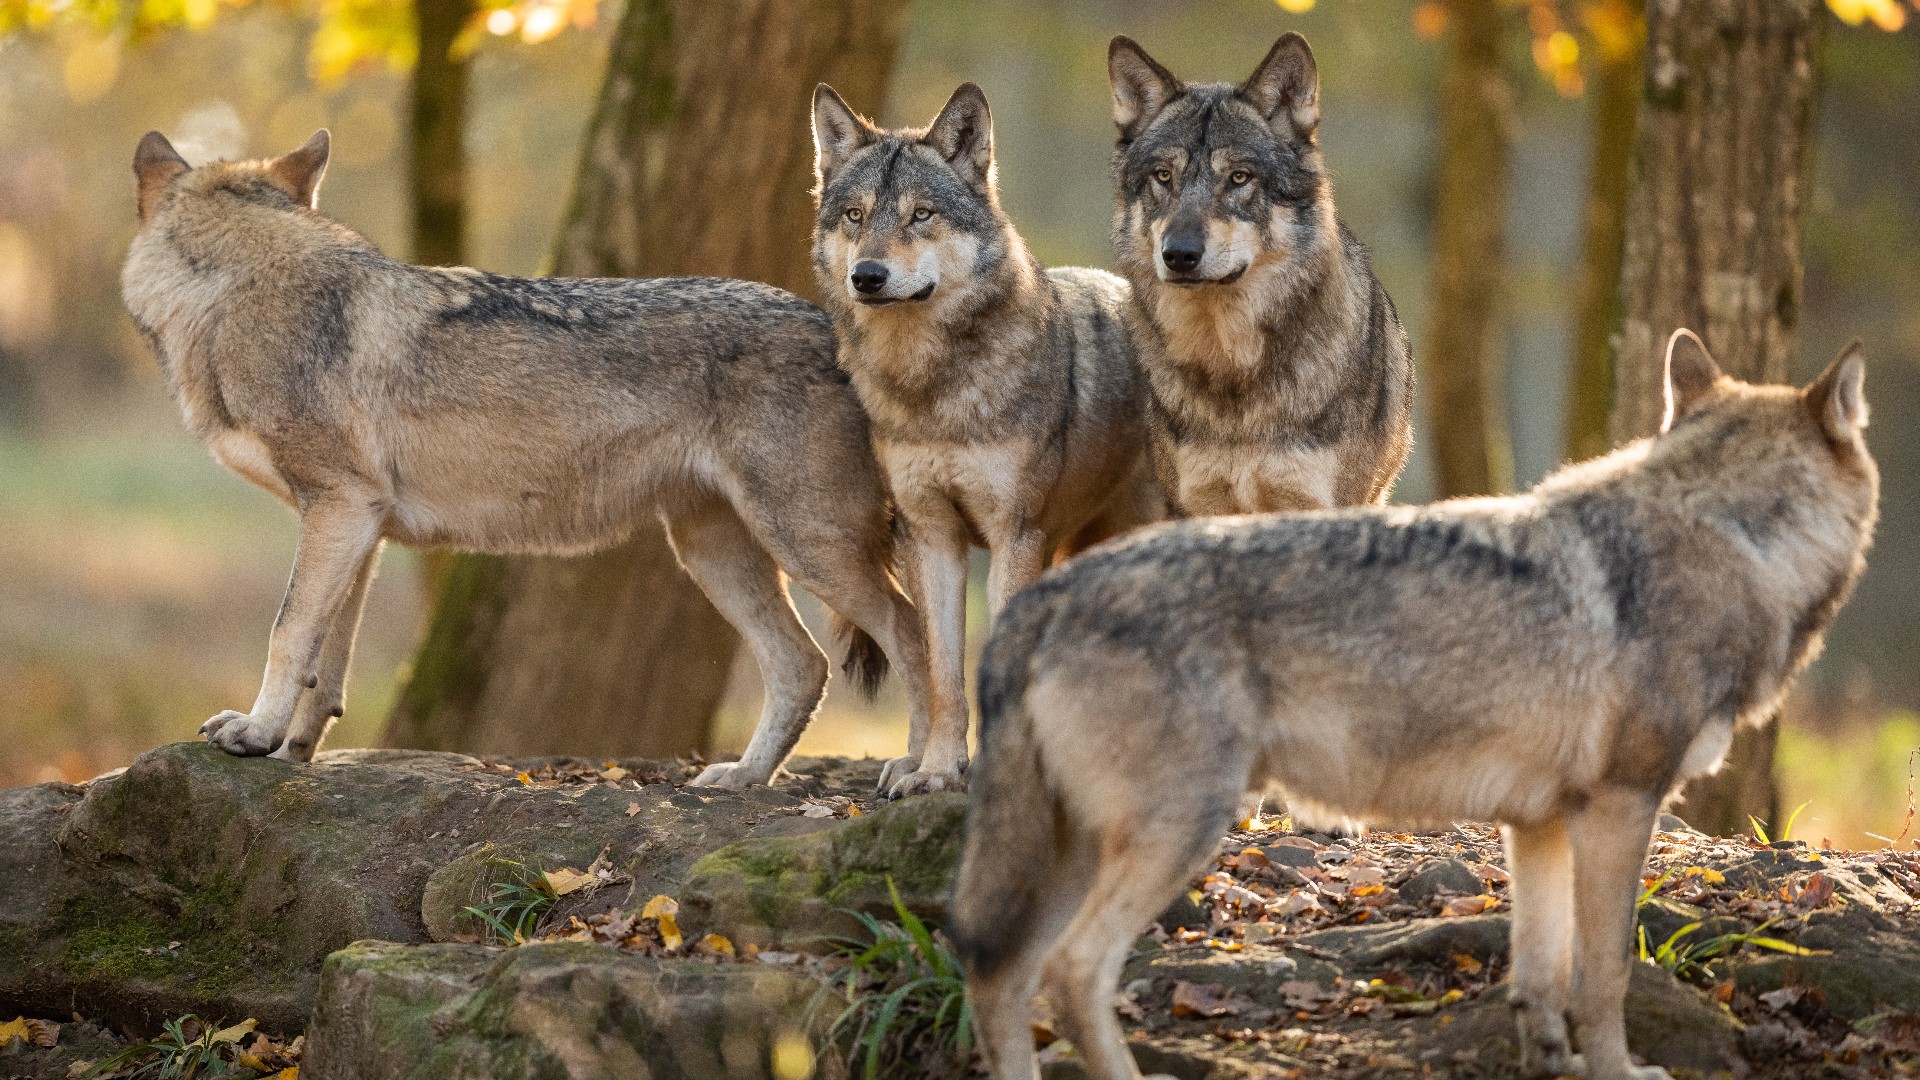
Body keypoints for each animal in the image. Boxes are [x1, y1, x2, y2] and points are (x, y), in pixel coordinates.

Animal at [120, 129, 933, 788]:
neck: (235, 295)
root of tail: (842, 330)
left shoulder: (338, 510)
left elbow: (287, 633)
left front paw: (256, 735)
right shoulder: (358, 527)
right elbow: (327, 662)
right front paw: (294, 750)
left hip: (808, 547)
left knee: (911, 631)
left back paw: (921, 772)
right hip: (715, 554)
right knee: (805, 666)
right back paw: (743, 778)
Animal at [810, 83, 1161, 798]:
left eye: (920, 216)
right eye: (856, 216)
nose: (867, 275)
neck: (934, 390)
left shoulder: (1012, 536)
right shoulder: (932, 536)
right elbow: (944, 673)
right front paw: (937, 769)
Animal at [953, 329, 1877, 1080]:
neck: (1734, 537)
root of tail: (1044, 600)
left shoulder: (1540, 823)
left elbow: (1541, 975)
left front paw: (1552, 1061)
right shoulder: (1621, 807)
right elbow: (1606, 973)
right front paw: (1618, 1069)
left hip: (1075, 852)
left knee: (1002, 977)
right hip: (1174, 832)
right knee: (1072, 975)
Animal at [1107, 33, 1414, 517]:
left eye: (1239, 177)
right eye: (1163, 176)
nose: (1179, 254)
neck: (1231, 365)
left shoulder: (1316, 504)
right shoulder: (1194, 507)